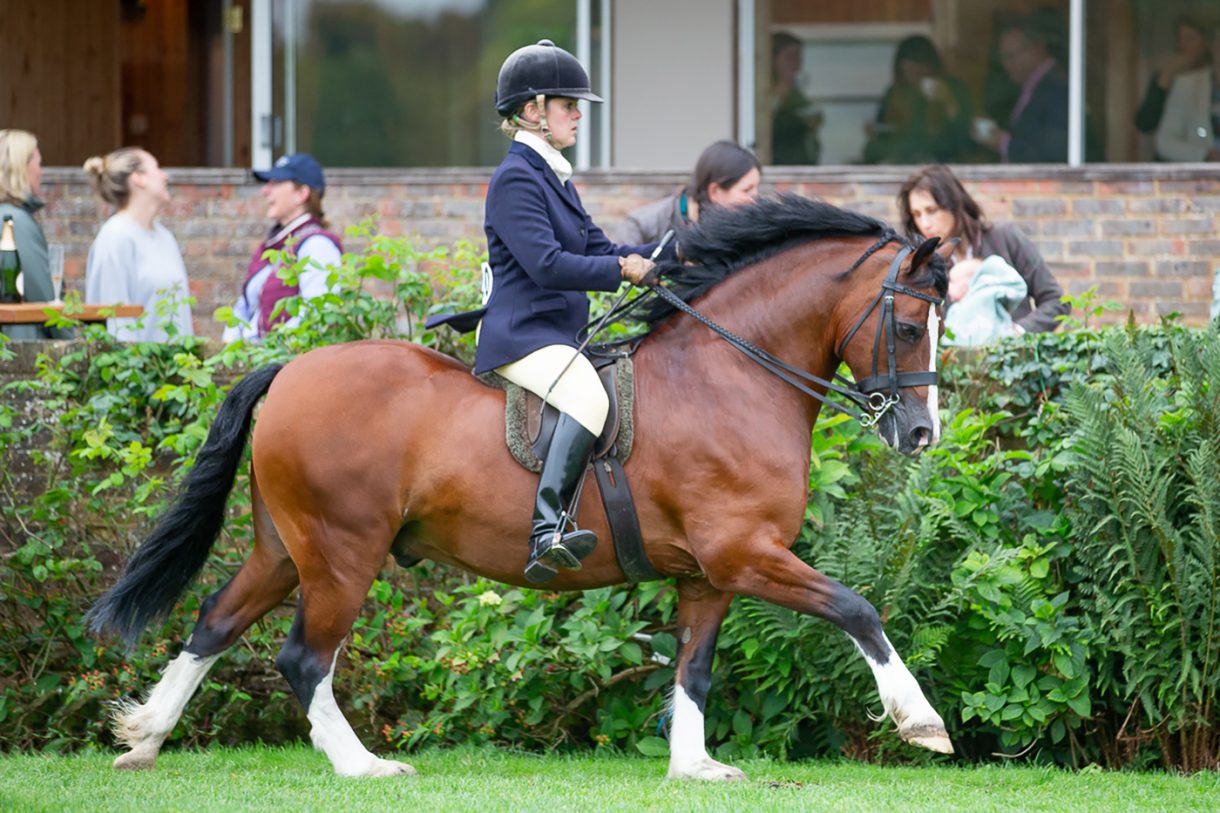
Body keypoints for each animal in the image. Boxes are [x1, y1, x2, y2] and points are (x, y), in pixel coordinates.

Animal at [88, 195, 953, 780]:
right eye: (911, 326)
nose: (920, 435)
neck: (729, 373)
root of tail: (291, 368)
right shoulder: (745, 552)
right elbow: (857, 608)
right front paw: (922, 720)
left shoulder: (708, 573)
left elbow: (694, 670)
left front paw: (694, 767)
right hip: (341, 552)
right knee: (304, 657)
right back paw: (363, 765)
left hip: (284, 548)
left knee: (214, 620)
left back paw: (145, 735)